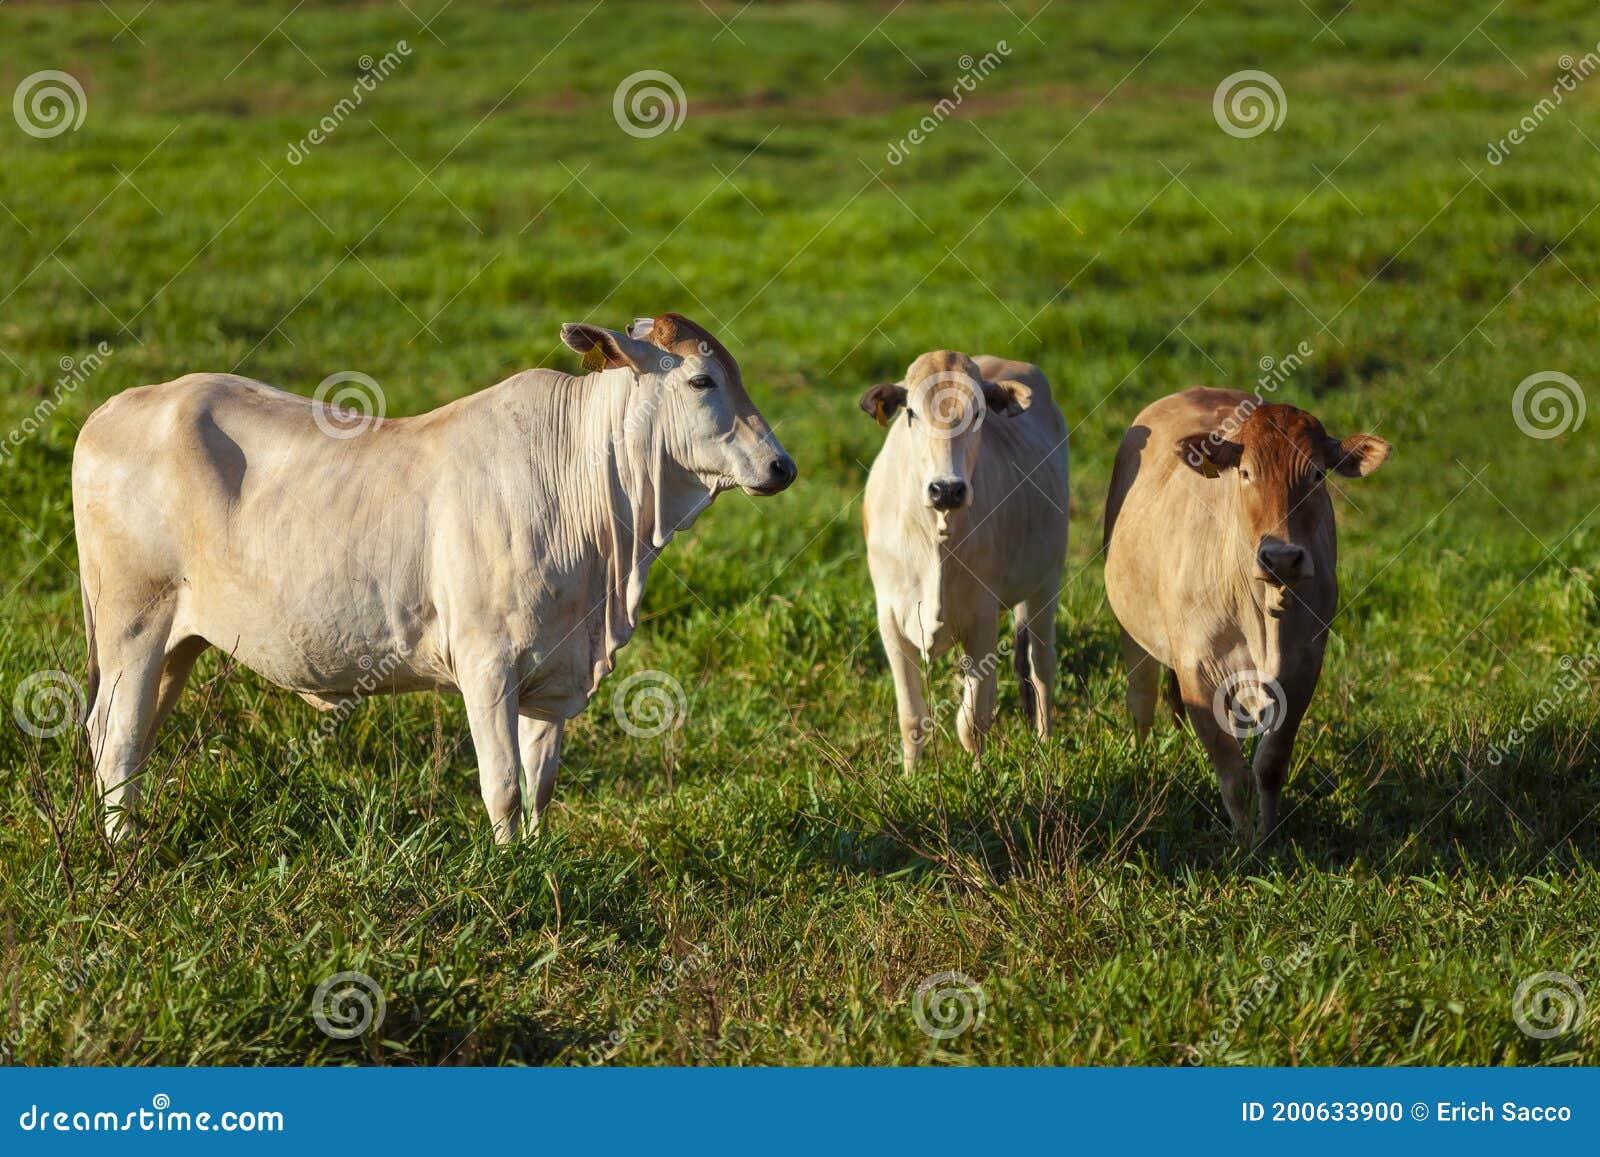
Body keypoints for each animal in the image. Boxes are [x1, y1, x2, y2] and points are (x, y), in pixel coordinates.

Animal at [71, 312, 796, 844]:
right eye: (702, 381)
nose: (782, 466)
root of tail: (116, 407)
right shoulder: (486, 661)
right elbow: (501, 785)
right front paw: (508, 868)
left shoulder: (551, 670)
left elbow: (539, 784)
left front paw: (539, 858)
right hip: (132, 625)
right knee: (115, 738)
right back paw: (122, 850)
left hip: (176, 641)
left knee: (133, 739)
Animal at [859, 350, 1069, 771]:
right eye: (911, 412)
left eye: (978, 413)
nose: (947, 489)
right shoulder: (889, 618)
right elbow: (911, 717)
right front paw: (910, 778)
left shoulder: (982, 620)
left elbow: (973, 721)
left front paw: (979, 776)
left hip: (1047, 582)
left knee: (1041, 666)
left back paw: (1044, 745)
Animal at [1102, 386, 1390, 842]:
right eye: (1246, 473)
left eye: (1317, 475)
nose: (1282, 557)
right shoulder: (1197, 670)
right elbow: (1232, 773)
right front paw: (1241, 844)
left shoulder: (1304, 667)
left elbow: (1269, 766)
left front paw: (1267, 838)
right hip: (1132, 632)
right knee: (1141, 703)